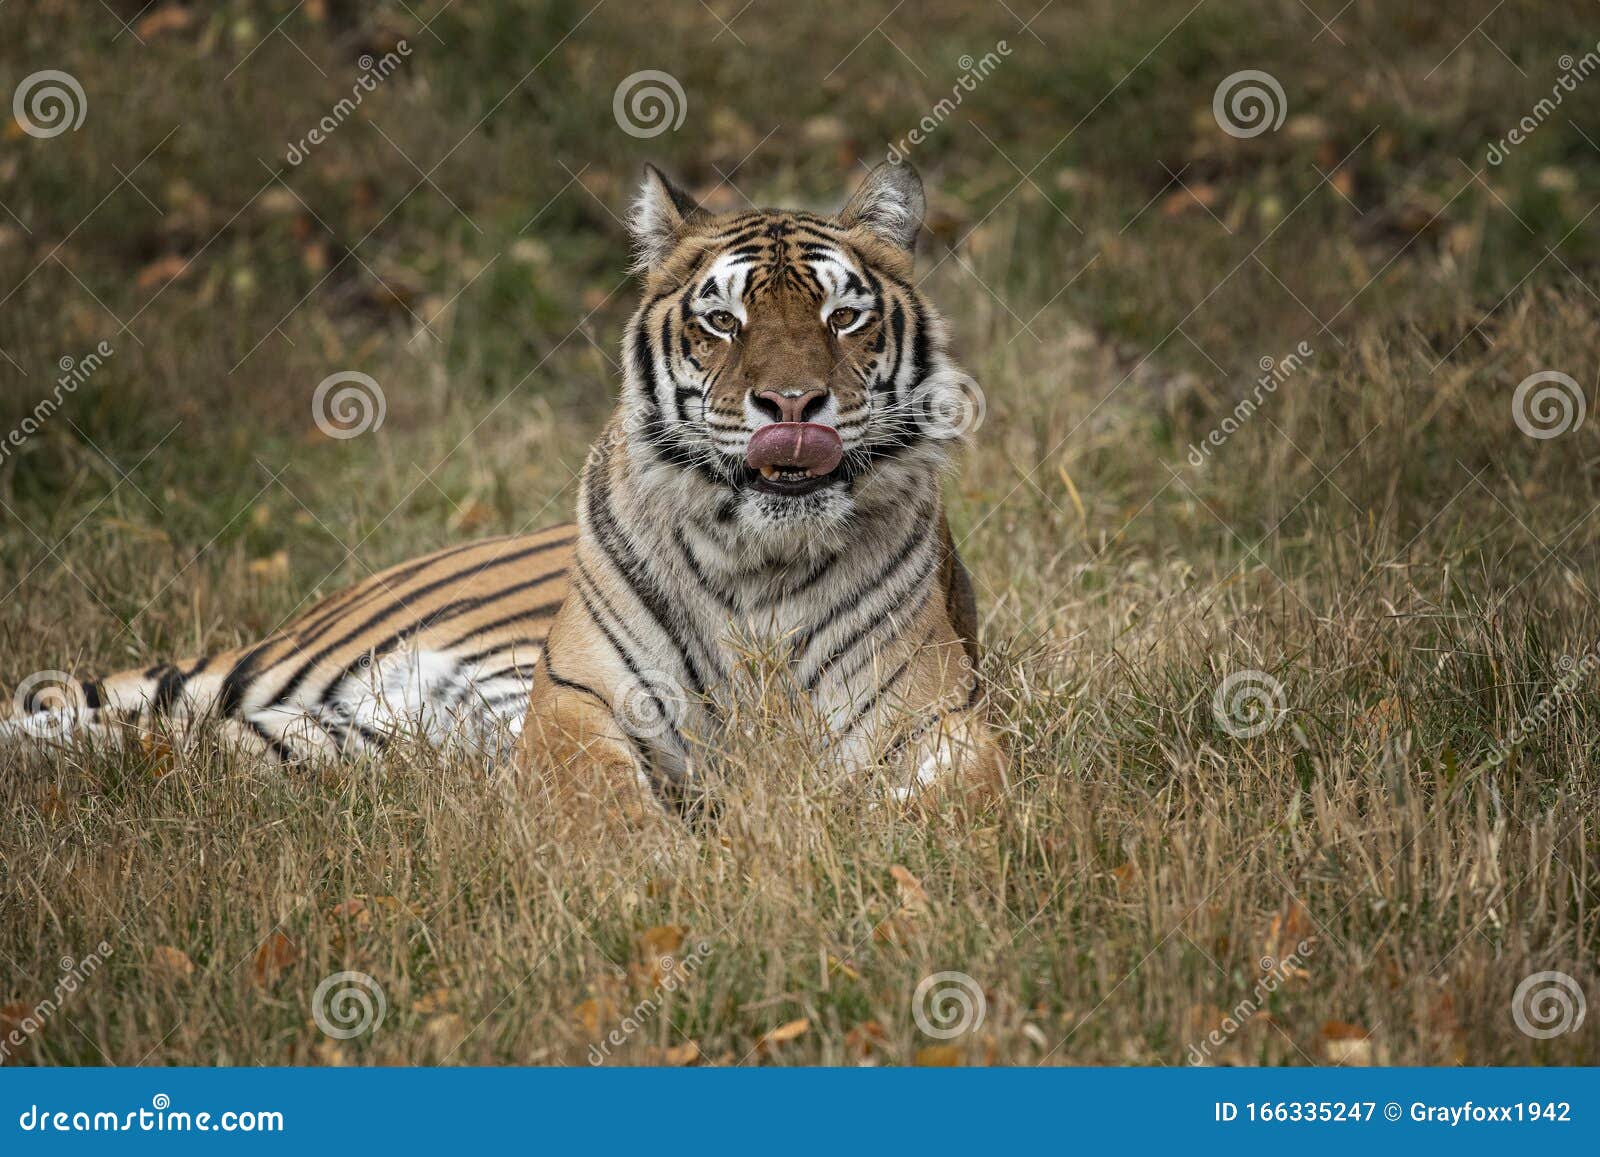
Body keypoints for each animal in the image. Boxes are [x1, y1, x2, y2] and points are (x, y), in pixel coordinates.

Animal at [2, 162, 1006, 830]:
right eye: (723, 320)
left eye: (845, 314)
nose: (793, 406)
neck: (759, 557)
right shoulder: (577, 703)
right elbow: (604, 810)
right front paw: (660, 882)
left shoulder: (936, 721)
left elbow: (950, 809)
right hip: (264, 671)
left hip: (306, 741)